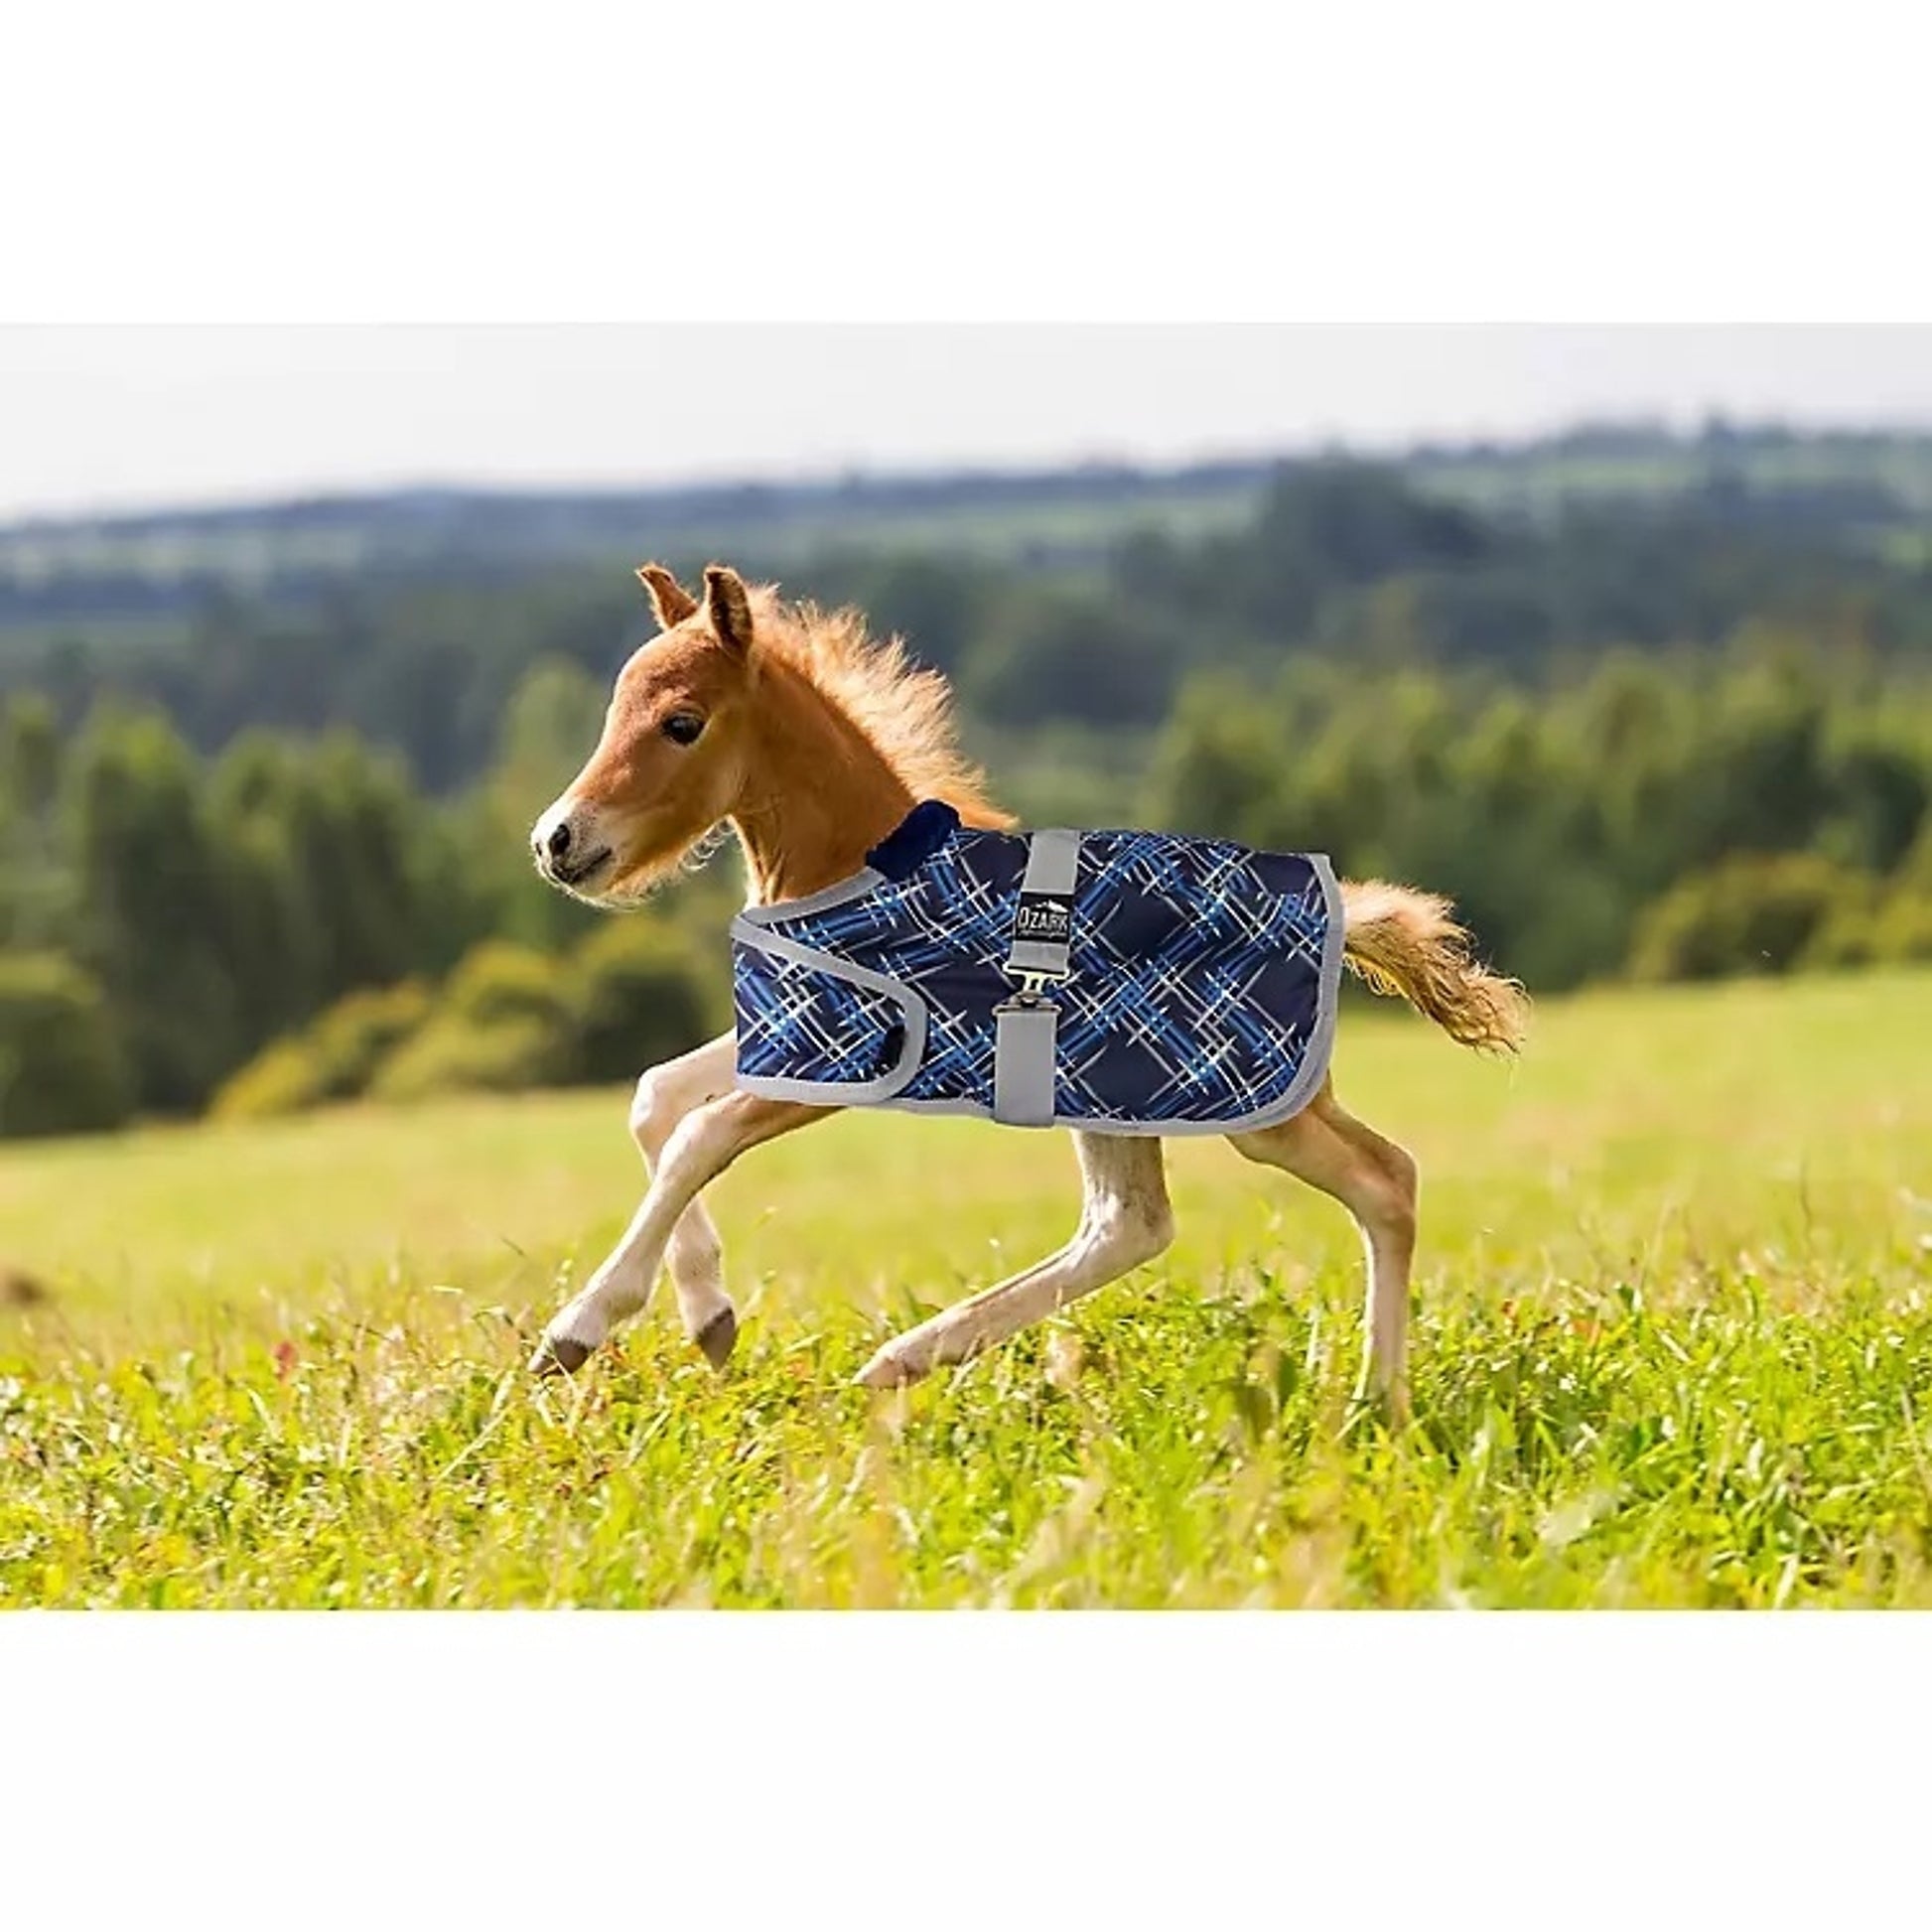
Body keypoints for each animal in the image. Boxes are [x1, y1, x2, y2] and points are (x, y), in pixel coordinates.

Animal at [526, 562, 1528, 1412]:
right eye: (613, 713)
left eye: (682, 722)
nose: (558, 841)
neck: (858, 866)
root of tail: (1336, 913)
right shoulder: (792, 1036)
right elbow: (657, 1099)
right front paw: (710, 1315)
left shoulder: (867, 1056)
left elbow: (699, 1136)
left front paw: (576, 1331)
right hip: (1112, 1096)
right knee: (1135, 1224)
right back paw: (907, 1359)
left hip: (1246, 1105)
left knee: (1381, 1181)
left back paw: (1377, 1403)